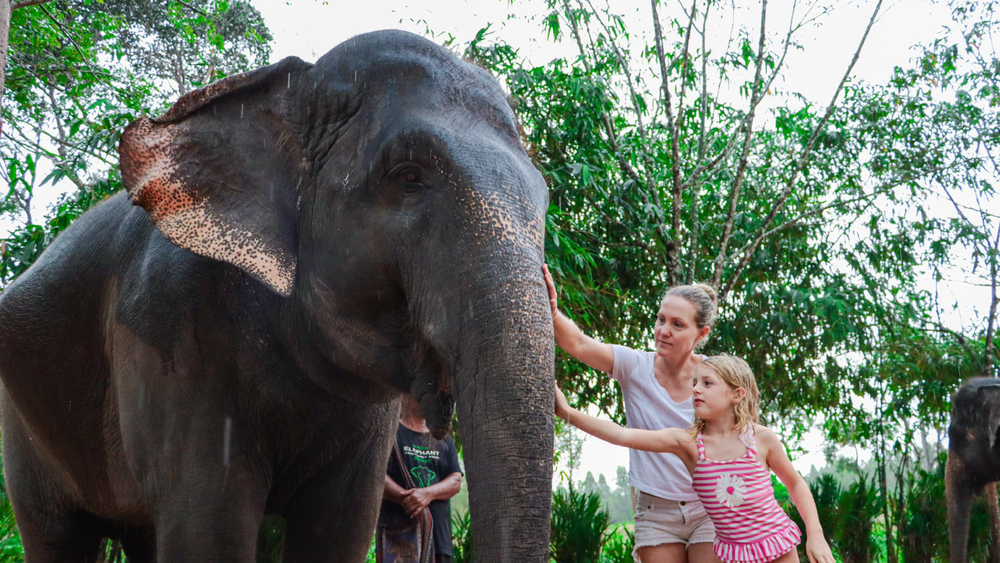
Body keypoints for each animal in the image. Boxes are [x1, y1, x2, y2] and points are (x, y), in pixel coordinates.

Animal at [0, 30, 554, 562]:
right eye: (409, 176)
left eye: (543, 198)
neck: (283, 89)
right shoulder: (174, 331)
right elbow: (210, 532)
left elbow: (338, 533)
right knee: (59, 537)